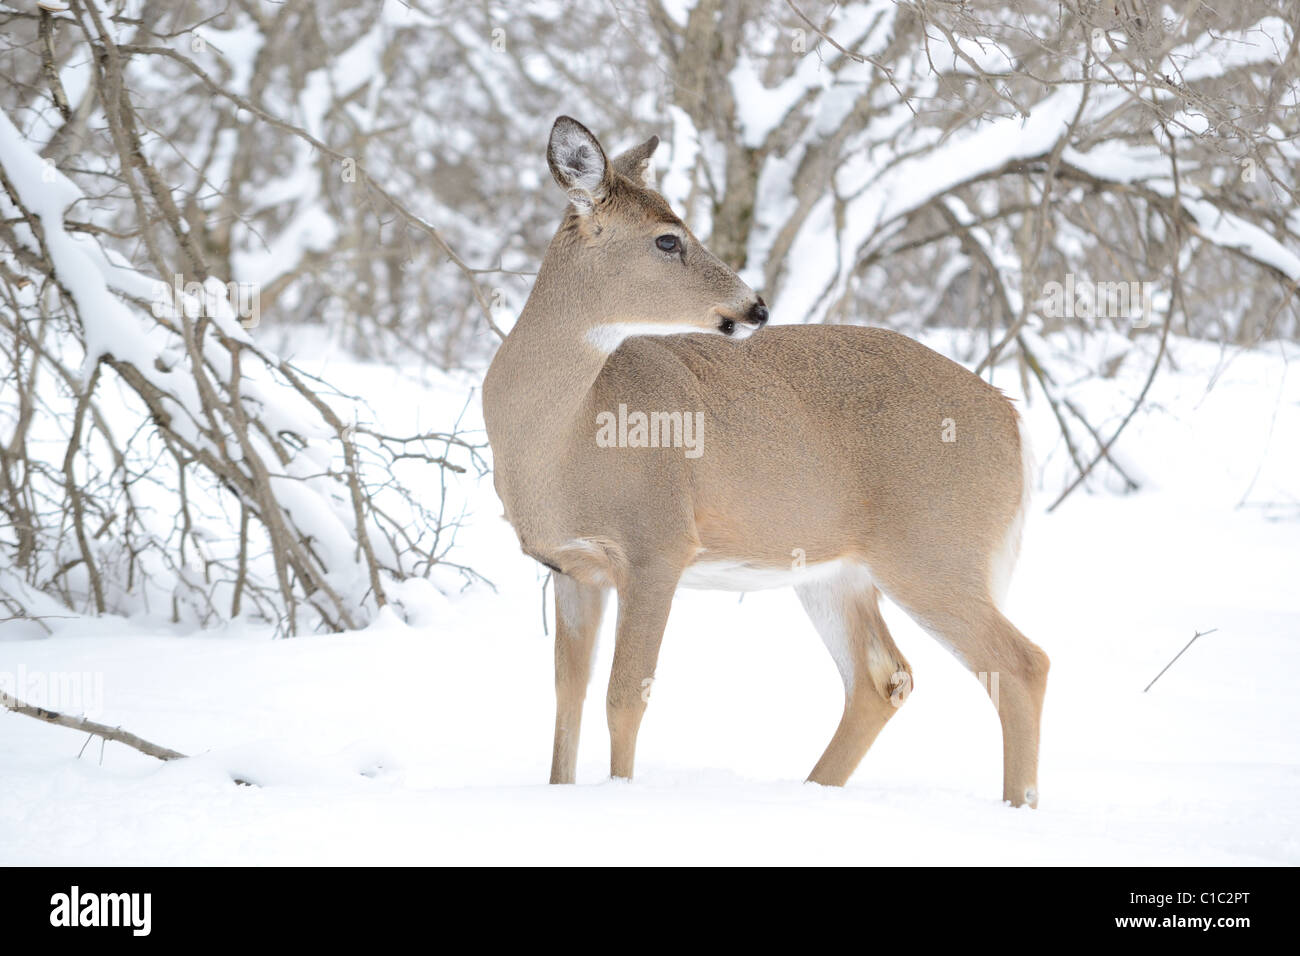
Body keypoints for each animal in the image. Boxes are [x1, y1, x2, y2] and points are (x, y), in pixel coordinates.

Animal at [482, 116, 1048, 807]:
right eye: (667, 238)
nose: (756, 307)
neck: (565, 437)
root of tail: (1013, 419)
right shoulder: (570, 566)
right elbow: (568, 700)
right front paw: (561, 795)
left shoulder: (658, 544)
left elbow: (625, 698)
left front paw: (620, 795)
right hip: (837, 570)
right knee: (884, 677)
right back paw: (815, 791)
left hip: (936, 548)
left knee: (1021, 663)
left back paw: (1016, 808)